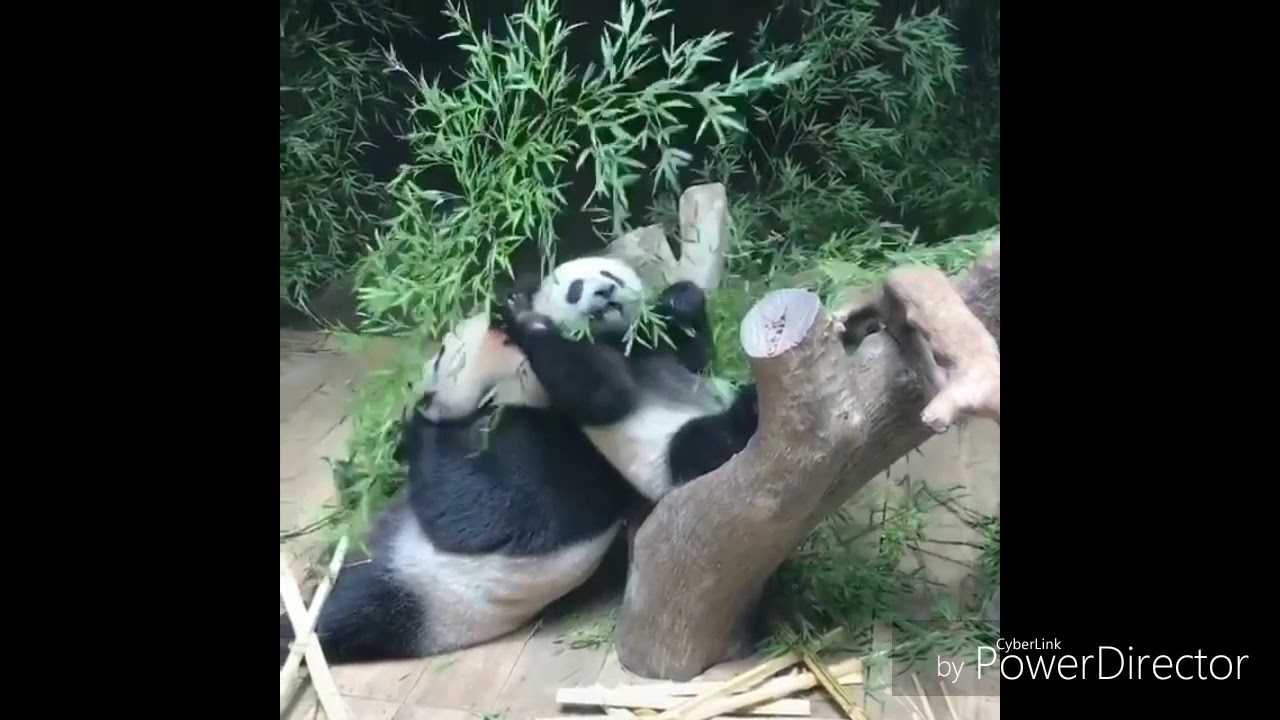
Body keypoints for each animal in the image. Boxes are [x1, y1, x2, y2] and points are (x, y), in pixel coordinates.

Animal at [280, 310, 641, 666]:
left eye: (441, 353)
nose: (418, 384)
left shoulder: (548, 457)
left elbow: (477, 510)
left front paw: (420, 420)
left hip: (419, 597)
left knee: (352, 611)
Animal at [492, 255, 760, 502]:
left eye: (610, 275)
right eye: (575, 288)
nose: (605, 290)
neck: (615, 337)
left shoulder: (651, 341)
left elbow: (696, 360)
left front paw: (681, 299)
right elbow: (603, 396)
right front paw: (523, 314)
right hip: (665, 461)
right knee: (705, 440)